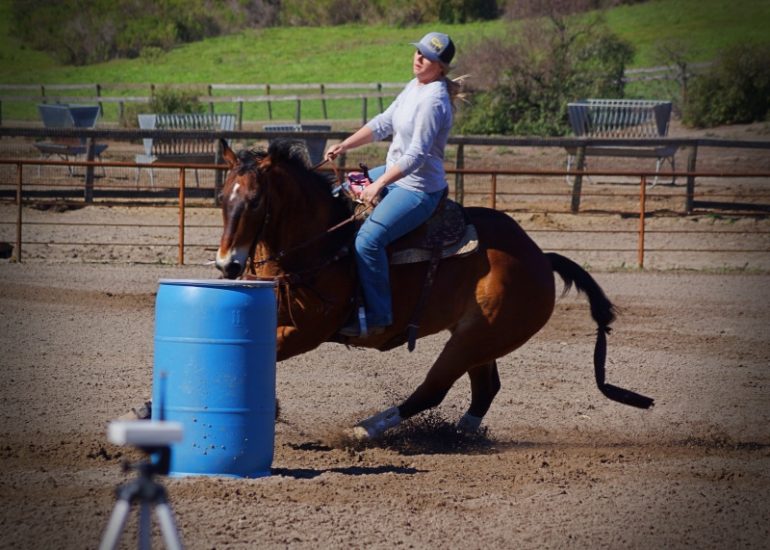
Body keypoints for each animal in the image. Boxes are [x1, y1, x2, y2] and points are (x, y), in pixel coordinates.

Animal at [214, 139, 654, 440]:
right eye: (221, 197)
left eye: (255, 201)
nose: (227, 264)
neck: (323, 243)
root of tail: (540, 258)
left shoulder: (308, 331)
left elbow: (271, 351)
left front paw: (269, 408)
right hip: (480, 339)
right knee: (485, 390)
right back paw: (460, 436)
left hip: (473, 340)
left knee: (432, 391)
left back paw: (364, 430)